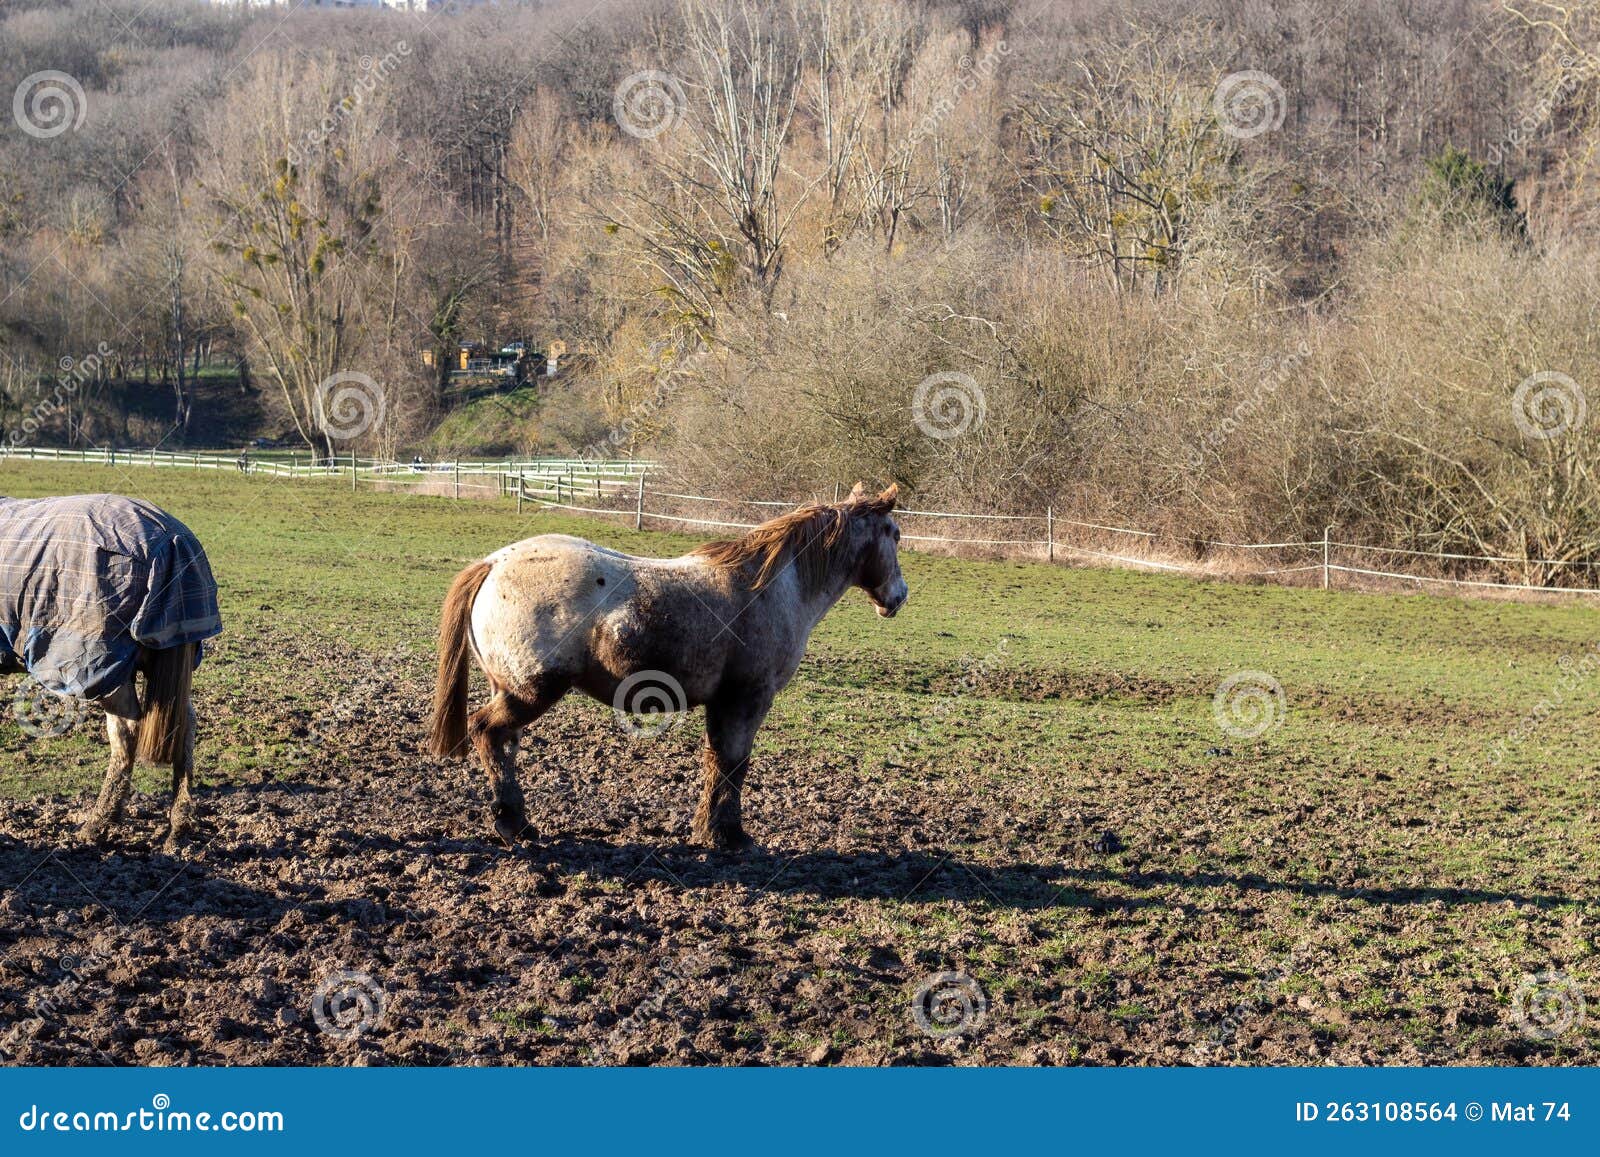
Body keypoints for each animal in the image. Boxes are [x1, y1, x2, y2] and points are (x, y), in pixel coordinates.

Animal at [0, 494, 221, 851]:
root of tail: (173, 540)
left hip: (103, 668)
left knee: (126, 735)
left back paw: (97, 825)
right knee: (185, 725)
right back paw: (178, 826)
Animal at [429, 482, 908, 849]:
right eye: (896, 534)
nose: (898, 596)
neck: (771, 586)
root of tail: (493, 563)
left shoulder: (723, 703)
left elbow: (717, 761)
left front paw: (708, 830)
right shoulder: (748, 699)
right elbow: (734, 764)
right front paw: (729, 835)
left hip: (508, 689)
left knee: (503, 746)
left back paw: (517, 821)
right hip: (530, 692)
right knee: (487, 732)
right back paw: (513, 824)